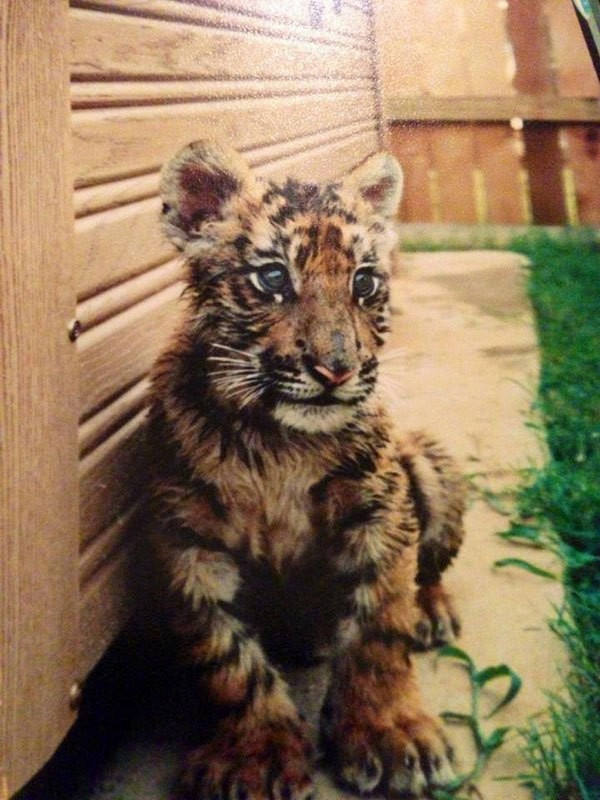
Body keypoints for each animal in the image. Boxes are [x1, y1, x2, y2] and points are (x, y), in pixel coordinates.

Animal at [148, 140, 466, 800]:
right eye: (272, 278)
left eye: (364, 282)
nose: (336, 369)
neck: (278, 443)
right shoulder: (185, 542)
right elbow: (226, 658)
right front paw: (255, 755)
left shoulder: (382, 513)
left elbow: (379, 627)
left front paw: (392, 735)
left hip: (426, 464)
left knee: (427, 572)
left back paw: (432, 612)